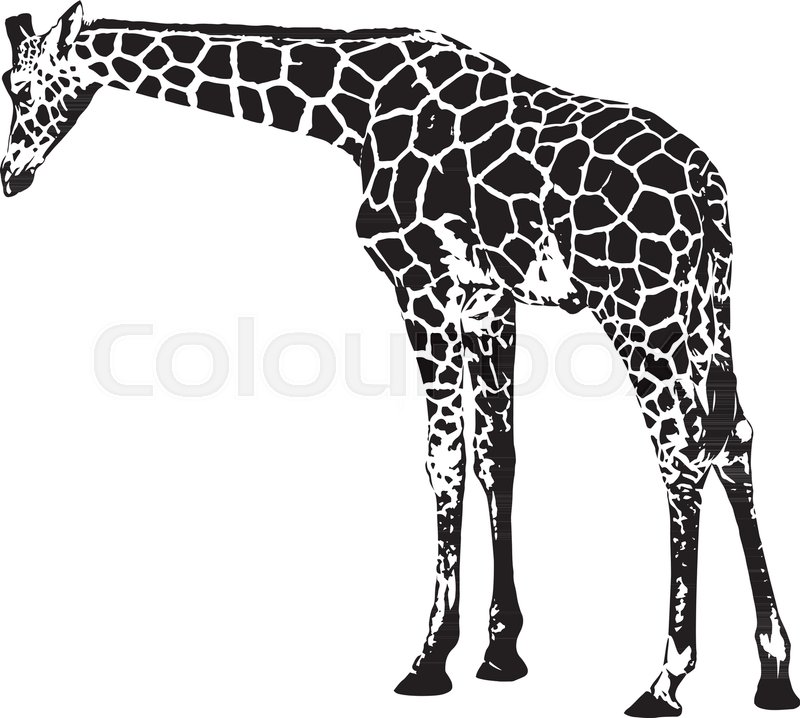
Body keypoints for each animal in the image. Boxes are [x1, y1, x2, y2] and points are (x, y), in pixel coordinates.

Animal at [2, 4, 798, 716]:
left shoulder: (418, 280)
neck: (352, 111)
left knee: (679, 453)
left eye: (16, 84)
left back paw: (663, 681)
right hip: (709, 310)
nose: (12, 175)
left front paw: (429, 660)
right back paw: (772, 673)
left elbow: (442, 456)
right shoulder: (488, 297)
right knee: (733, 441)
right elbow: (497, 454)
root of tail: (708, 188)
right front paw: (500, 652)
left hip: (640, 309)